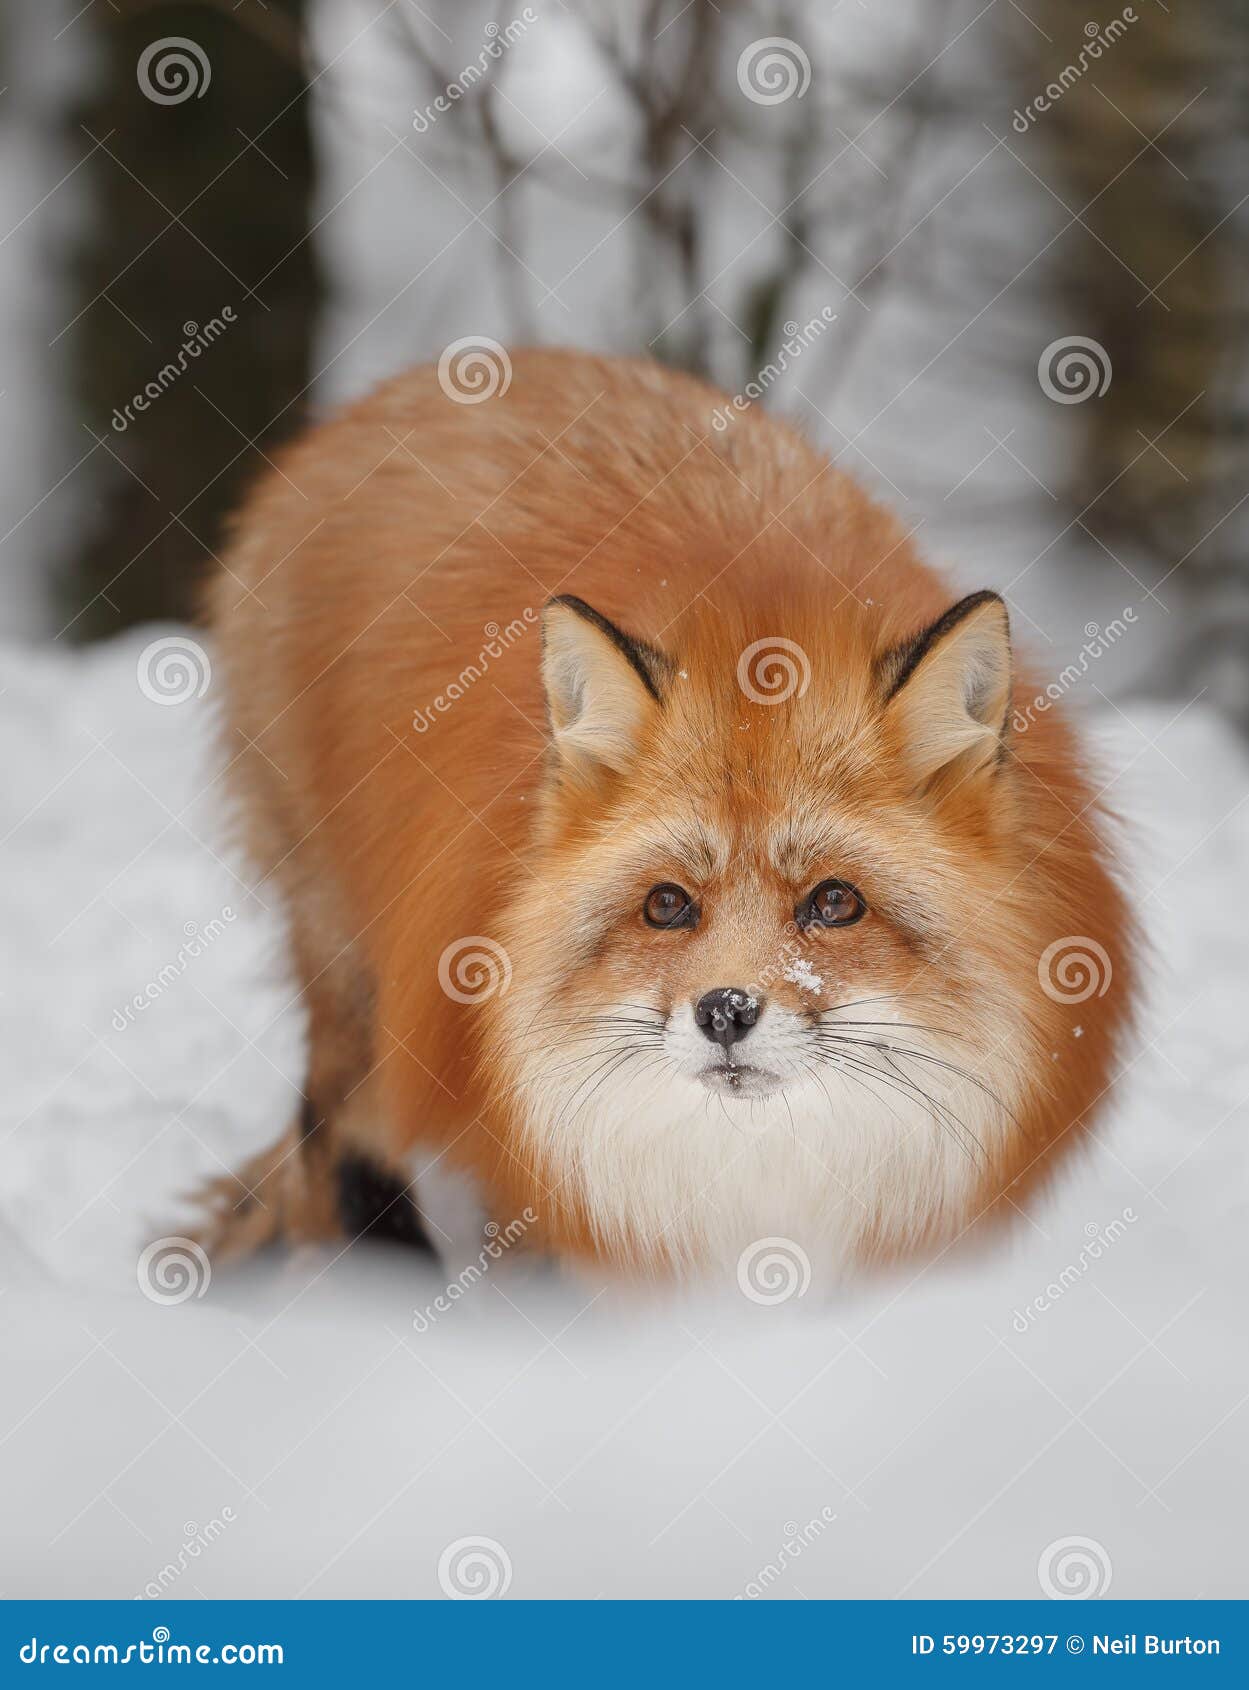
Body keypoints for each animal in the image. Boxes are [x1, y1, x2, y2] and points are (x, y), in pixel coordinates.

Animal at [191, 346, 1134, 1284]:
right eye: (667, 904)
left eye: (834, 902)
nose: (724, 1011)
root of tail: (449, 370)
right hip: (351, 977)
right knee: (333, 1138)